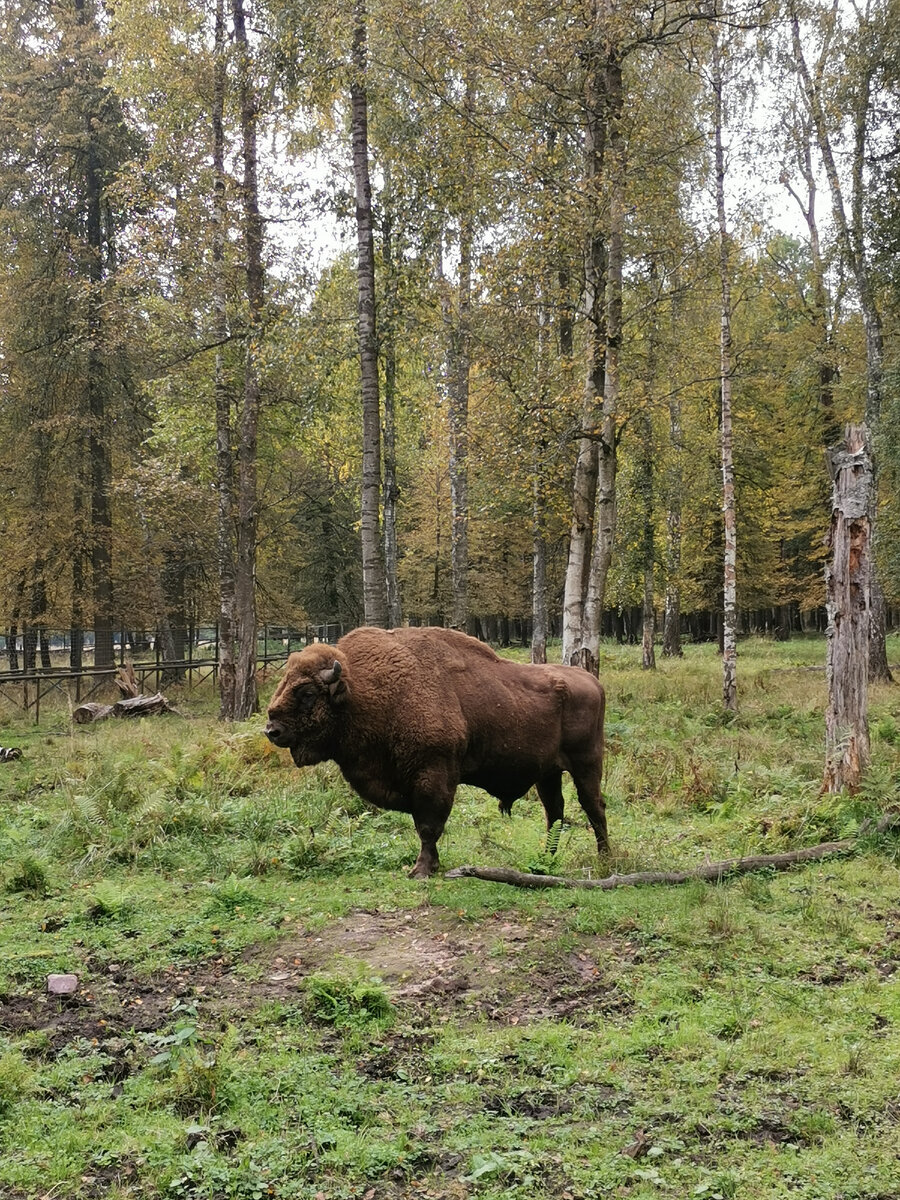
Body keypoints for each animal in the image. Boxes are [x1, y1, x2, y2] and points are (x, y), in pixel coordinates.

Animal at [264, 628, 609, 873]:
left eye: (307, 693)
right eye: (283, 682)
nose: (272, 730)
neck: (363, 690)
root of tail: (592, 680)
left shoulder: (433, 775)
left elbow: (428, 826)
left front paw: (421, 870)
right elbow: (425, 826)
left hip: (586, 763)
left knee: (594, 806)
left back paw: (605, 859)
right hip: (548, 772)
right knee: (555, 811)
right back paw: (546, 858)